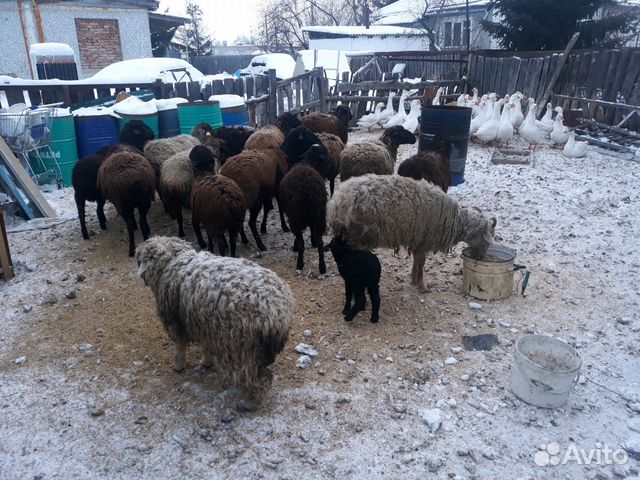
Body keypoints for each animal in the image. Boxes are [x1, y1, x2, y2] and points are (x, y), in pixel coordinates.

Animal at [135, 236, 294, 411]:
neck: (174, 261)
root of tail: (277, 312)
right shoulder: (203, 323)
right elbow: (206, 345)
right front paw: (207, 362)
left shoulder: (175, 320)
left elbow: (180, 345)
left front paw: (178, 366)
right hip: (255, 350)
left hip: (243, 349)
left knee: (260, 379)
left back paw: (249, 403)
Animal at [279, 144, 331, 273]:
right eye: (324, 152)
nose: (330, 160)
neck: (308, 162)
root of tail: (308, 192)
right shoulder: (313, 216)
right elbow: (312, 231)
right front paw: (313, 241)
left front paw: (296, 246)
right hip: (319, 215)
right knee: (320, 243)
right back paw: (322, 267)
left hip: (297, 217)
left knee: (301, 243)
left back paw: (299, 264)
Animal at [328, 174, 496, 292]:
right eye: (486, 239)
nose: (481, 258)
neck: (456, 221)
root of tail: (337, 203)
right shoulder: (424, 241)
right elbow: (421, 264)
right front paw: (423, 287)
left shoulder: (418, 241)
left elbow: (417, 263)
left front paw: (414, 281)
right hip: (360, 238)